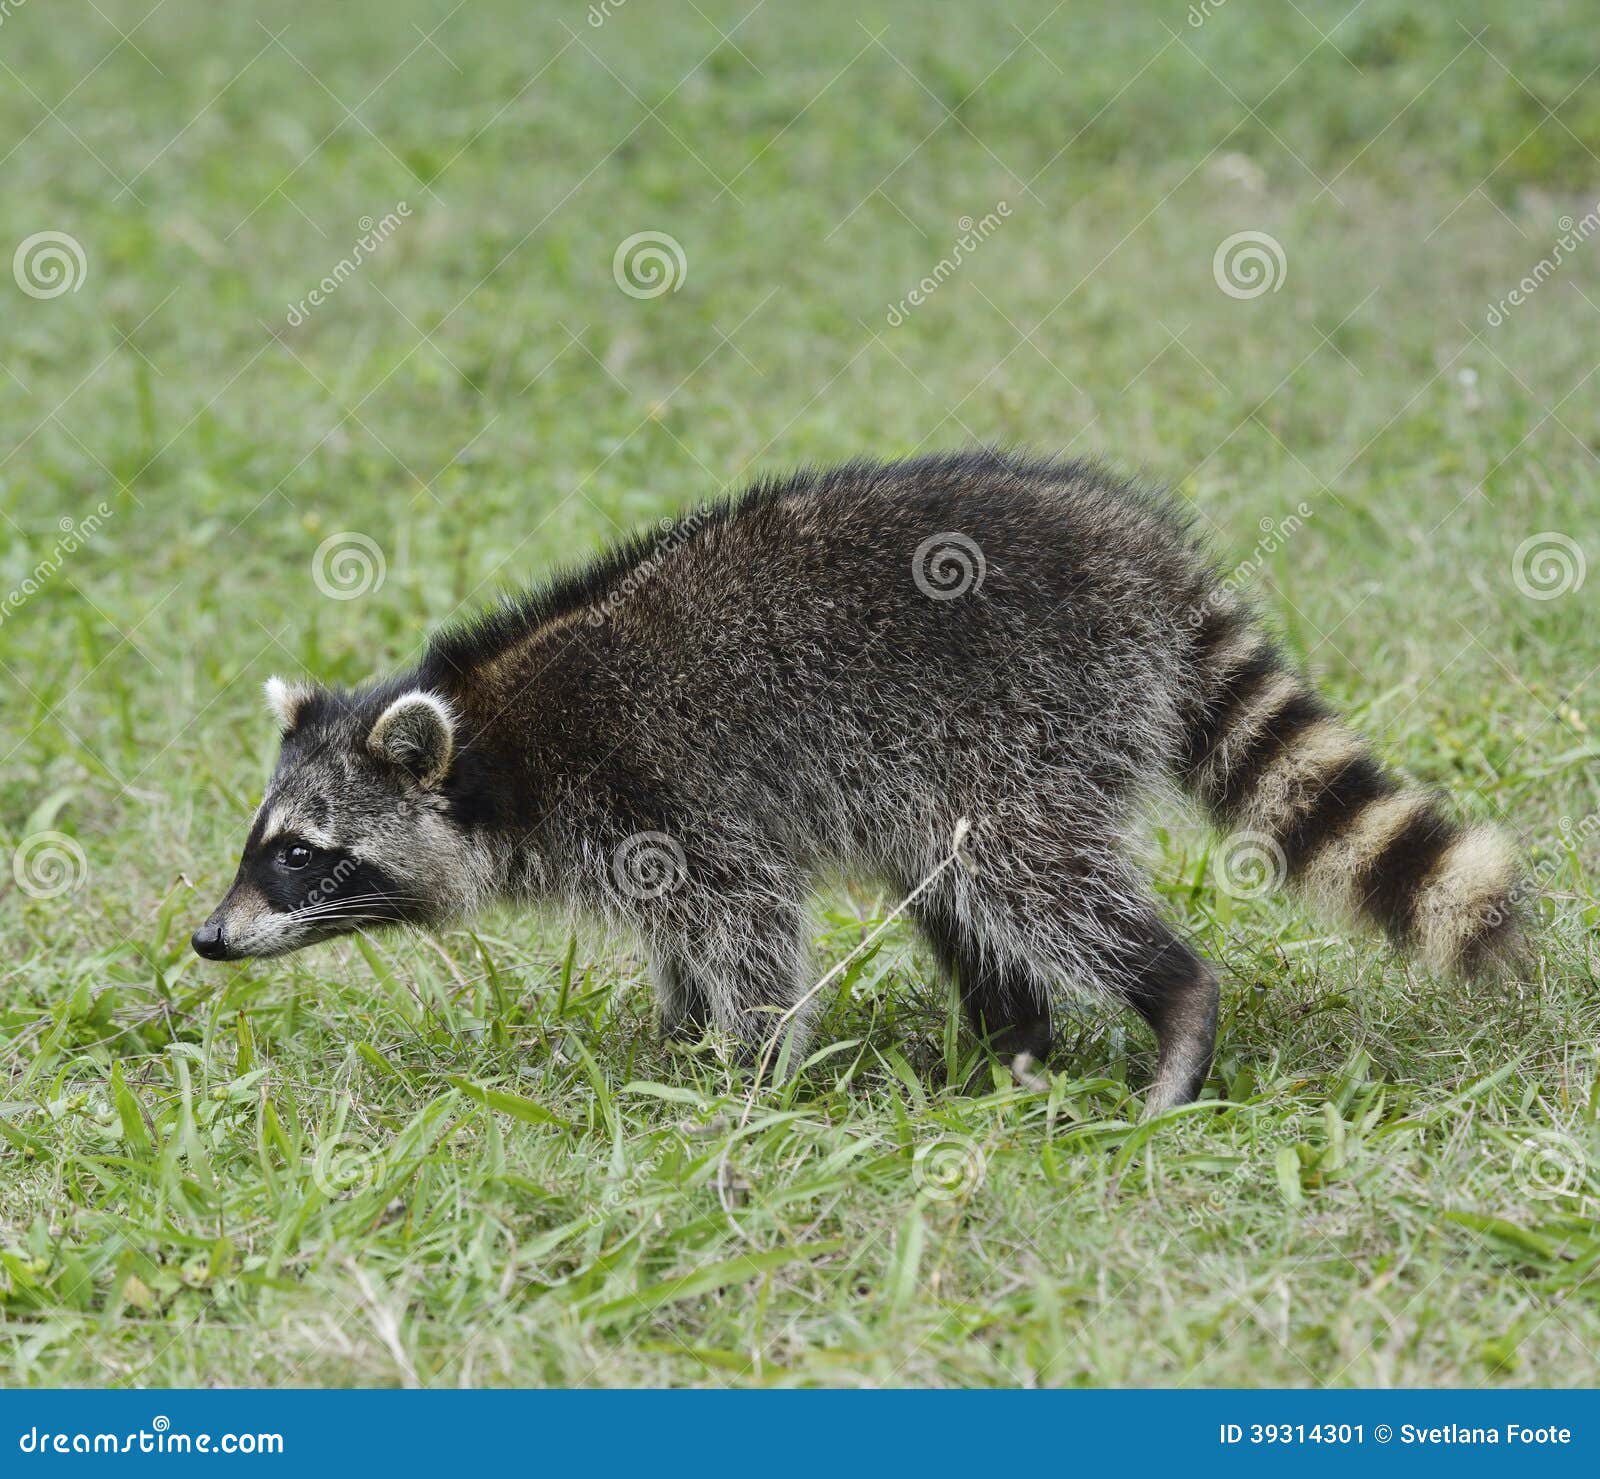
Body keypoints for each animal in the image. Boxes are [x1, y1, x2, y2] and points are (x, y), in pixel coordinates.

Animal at [193, 452, 1526, 1111]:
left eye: (303, 854)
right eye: (263, 839)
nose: (207, 937)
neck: (494, 747)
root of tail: (1146, 559)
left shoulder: (670, 804)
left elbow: (750, 934)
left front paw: (745, 1076)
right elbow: (685, 947)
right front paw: (677, 1043)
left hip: (1026, 714)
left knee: (1029, 879)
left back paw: (1173, 1005)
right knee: (954, 887)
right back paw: (1012, 1044)